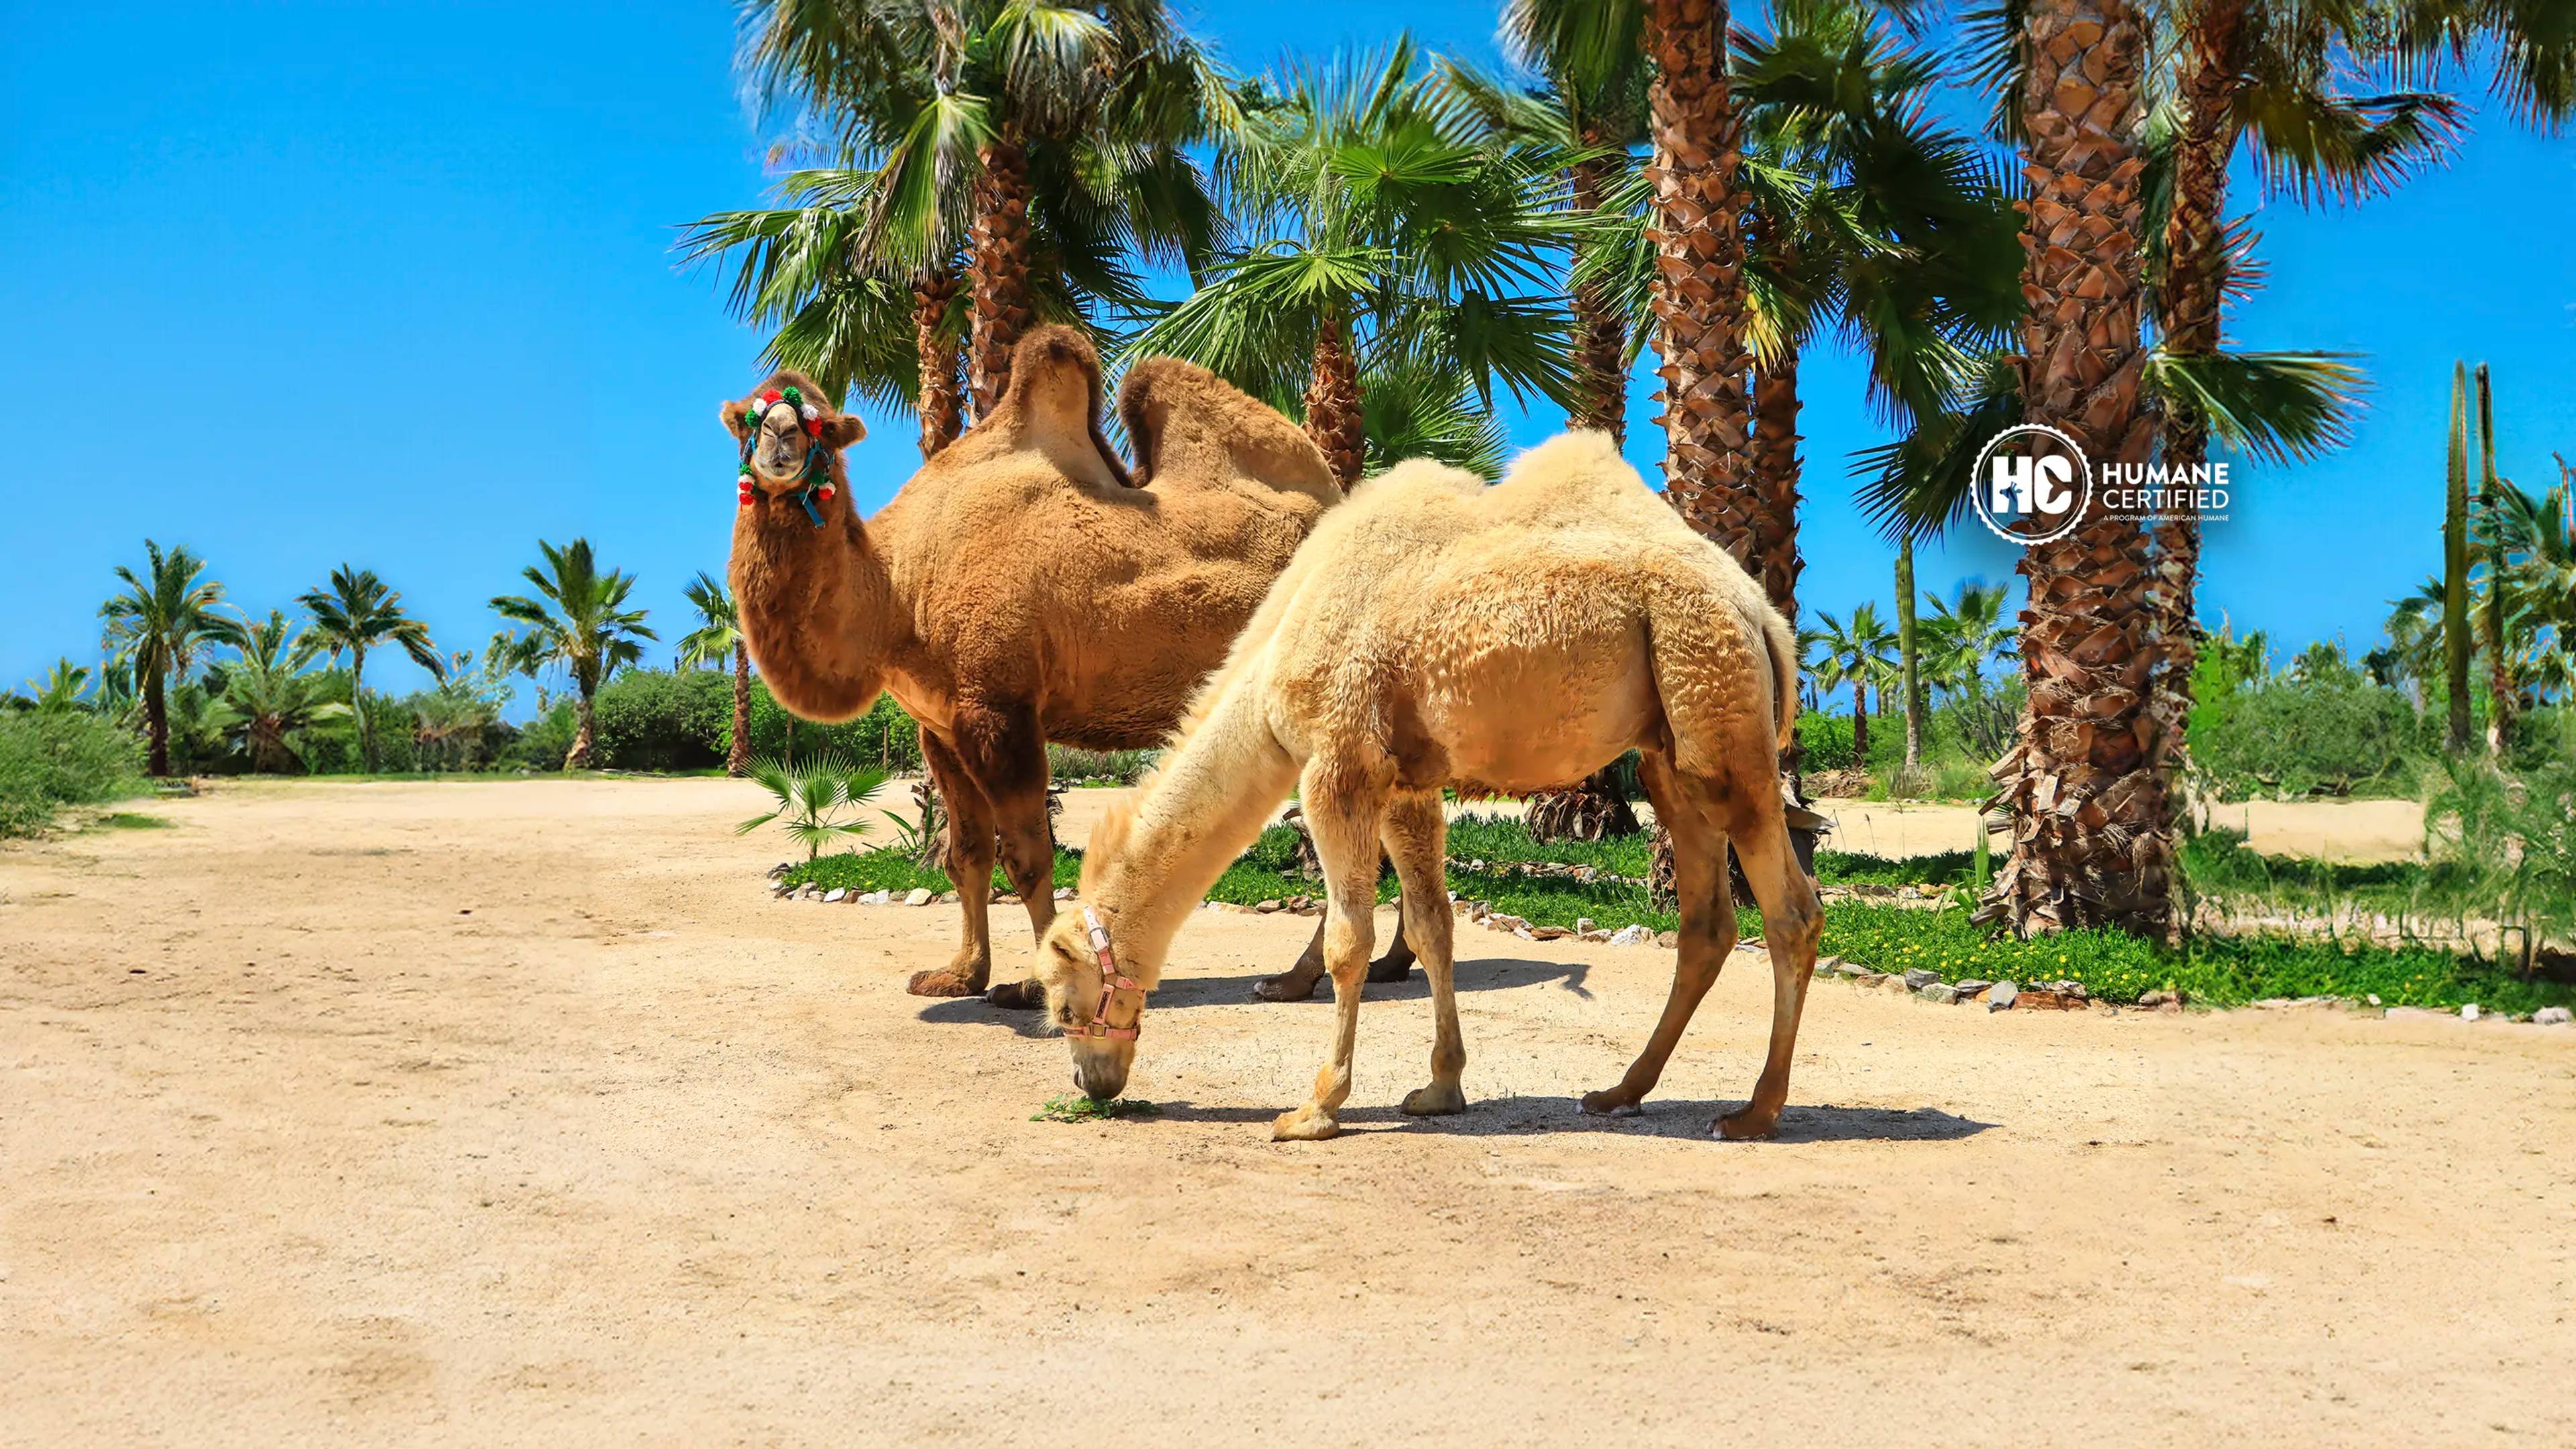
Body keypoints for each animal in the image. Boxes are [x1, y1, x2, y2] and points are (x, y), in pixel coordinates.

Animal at [726, 325, 1415, 1006]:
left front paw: (1032, 984)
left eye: (817, 425)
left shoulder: (999, 709)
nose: (780, 439)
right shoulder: (939, 726)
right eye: (748, 420)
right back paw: (1376, 966)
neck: (899, 590)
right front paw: (959, 974)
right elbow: (965, 856)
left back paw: (1299, 978)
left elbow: (1028, 858)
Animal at [1030, 433, 1823, 1142]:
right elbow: (1431, 926)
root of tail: (1763, 614)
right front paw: (1441, 1088)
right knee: (1706, 923)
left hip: (1716, 697)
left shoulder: (1339, 766)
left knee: (1791, 912)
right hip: (1671, 749)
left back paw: (1753, 1114)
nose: (1090, 1084)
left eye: (1064, 1007)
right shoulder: (1407, 784)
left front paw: (1315, 1109)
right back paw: (1619, 1093)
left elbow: (1351, 939)